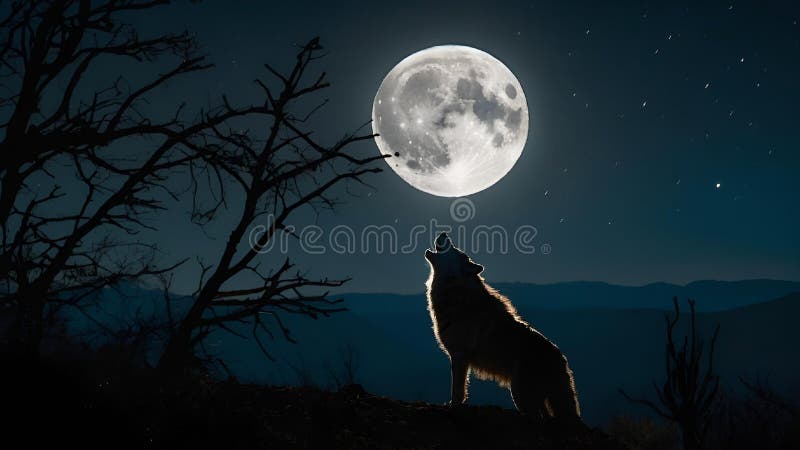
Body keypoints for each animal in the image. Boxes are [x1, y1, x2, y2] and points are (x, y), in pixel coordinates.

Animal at [424, 232, 581, 419]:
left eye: (454, 249)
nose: (444, 233)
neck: (456, 293)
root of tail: (561, 359)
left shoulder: (459, 355)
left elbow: (458, 390)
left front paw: (453, 406)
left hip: (520, 395)